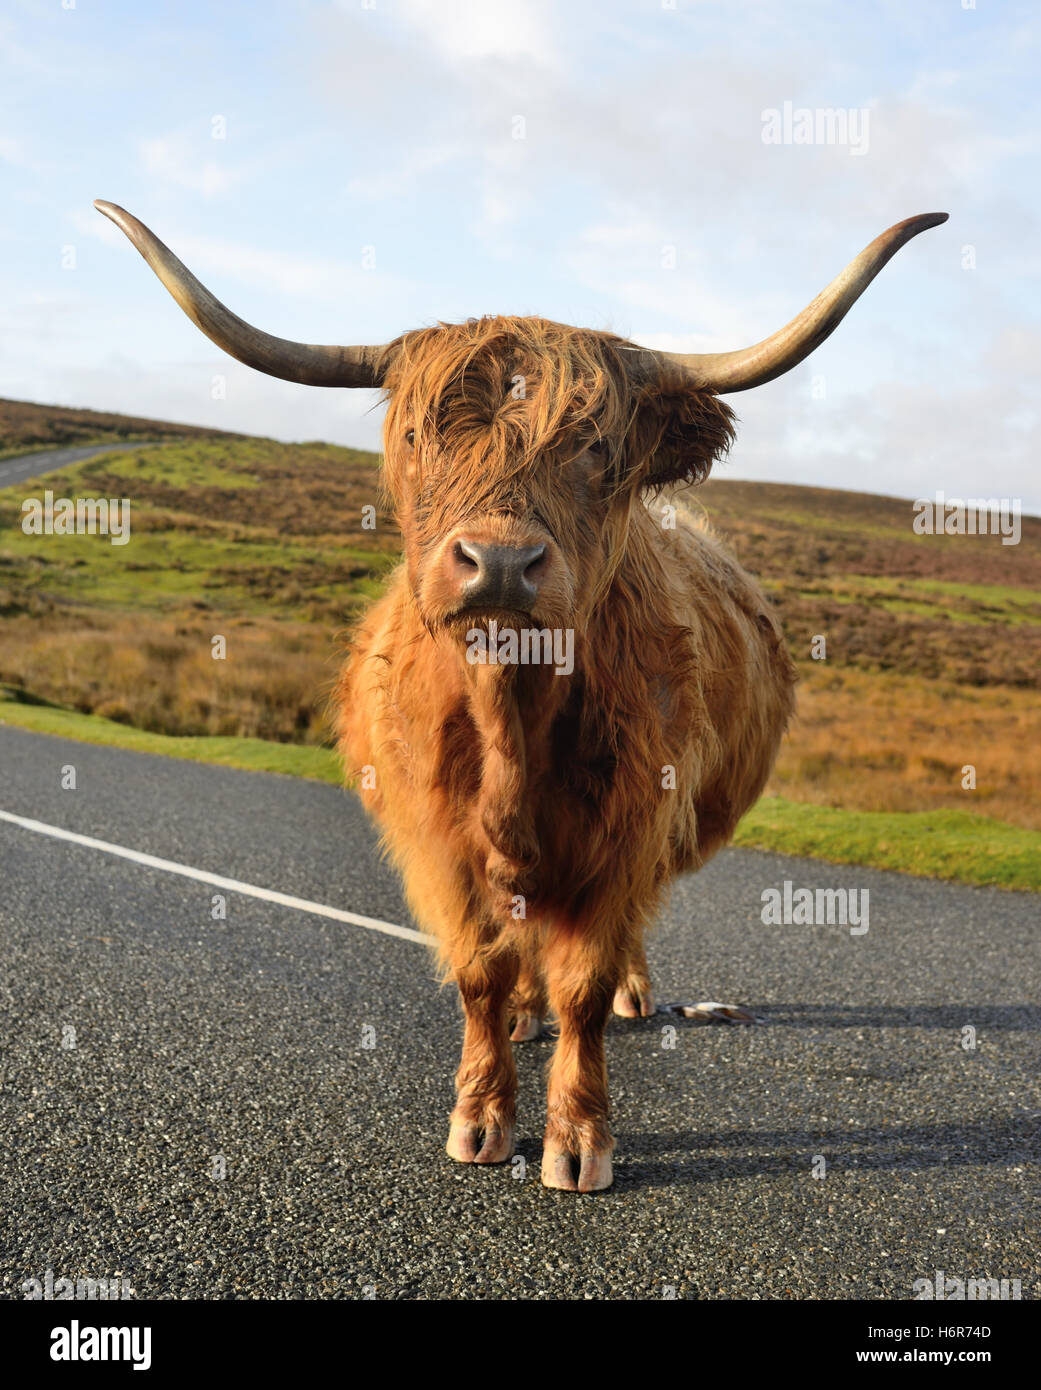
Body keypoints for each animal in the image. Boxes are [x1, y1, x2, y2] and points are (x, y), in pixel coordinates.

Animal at [97, 200, 947, 1191]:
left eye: (596, 450)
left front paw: (579, 1138)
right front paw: (479, 1115)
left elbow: (584, 981)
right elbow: (478, 972)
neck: (510, 716)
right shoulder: (438, 844)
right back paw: (521, 1016)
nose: (499, 562)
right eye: (420, 438)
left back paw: (630, 995)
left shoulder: (627, 830)